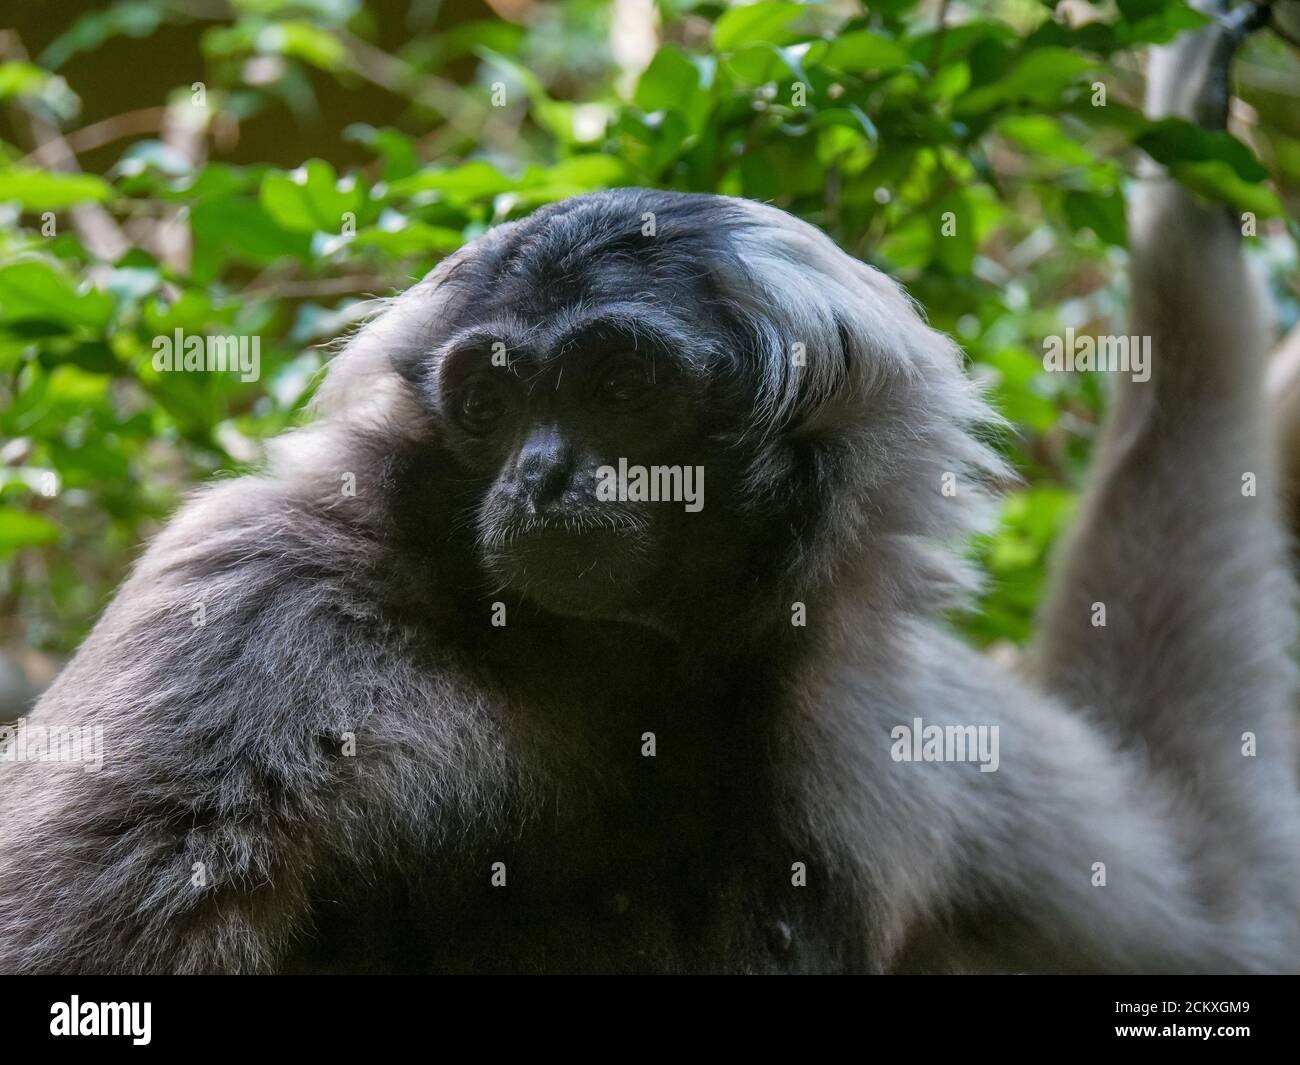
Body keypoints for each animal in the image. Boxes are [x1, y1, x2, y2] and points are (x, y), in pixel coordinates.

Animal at [0, 2, 1297, 974]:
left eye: (617, 386)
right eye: (489, 404)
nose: (538, 472)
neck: (623, 670)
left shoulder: (887, 693)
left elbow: (1217, 904)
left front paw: (1189, 155)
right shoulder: (255, 597)